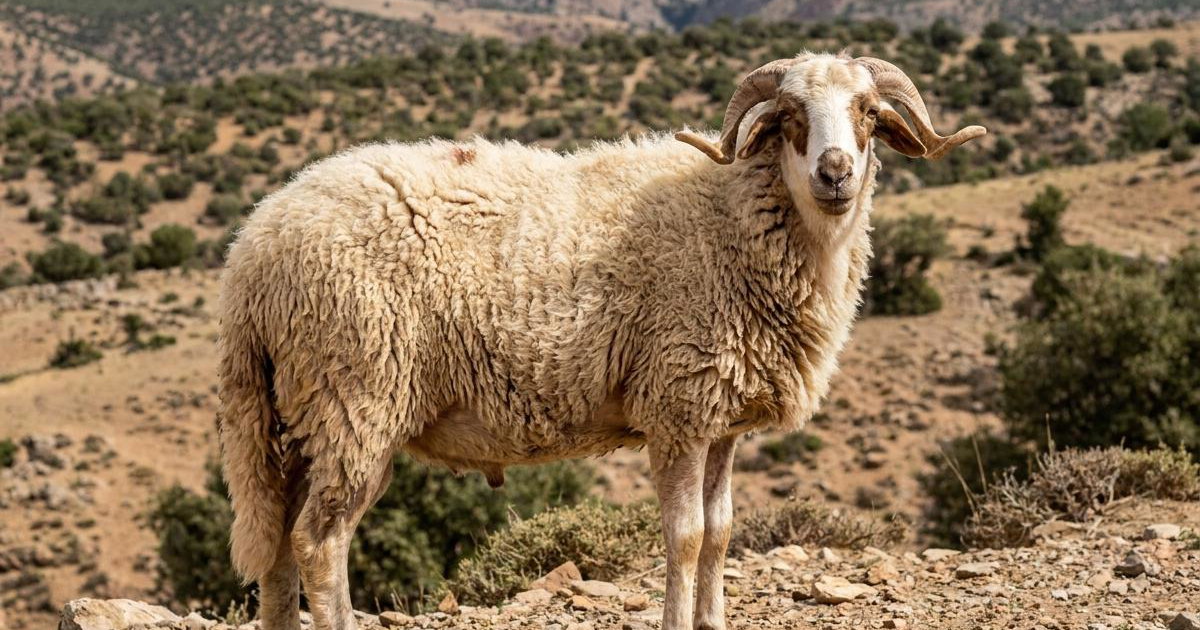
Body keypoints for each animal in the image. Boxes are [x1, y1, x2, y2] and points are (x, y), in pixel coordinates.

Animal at [218, 52, 985, 630]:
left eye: (869, 115)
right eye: (791, 118)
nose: (834, 173)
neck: (728, 217)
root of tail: (253, 247)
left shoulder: (722, 418)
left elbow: (722, 533)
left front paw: (713, 620)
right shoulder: (678, 405)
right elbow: (686, 537)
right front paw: (678, 622)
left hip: (297, 410)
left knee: (283, 543)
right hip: (356, 395)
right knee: (319, 541)